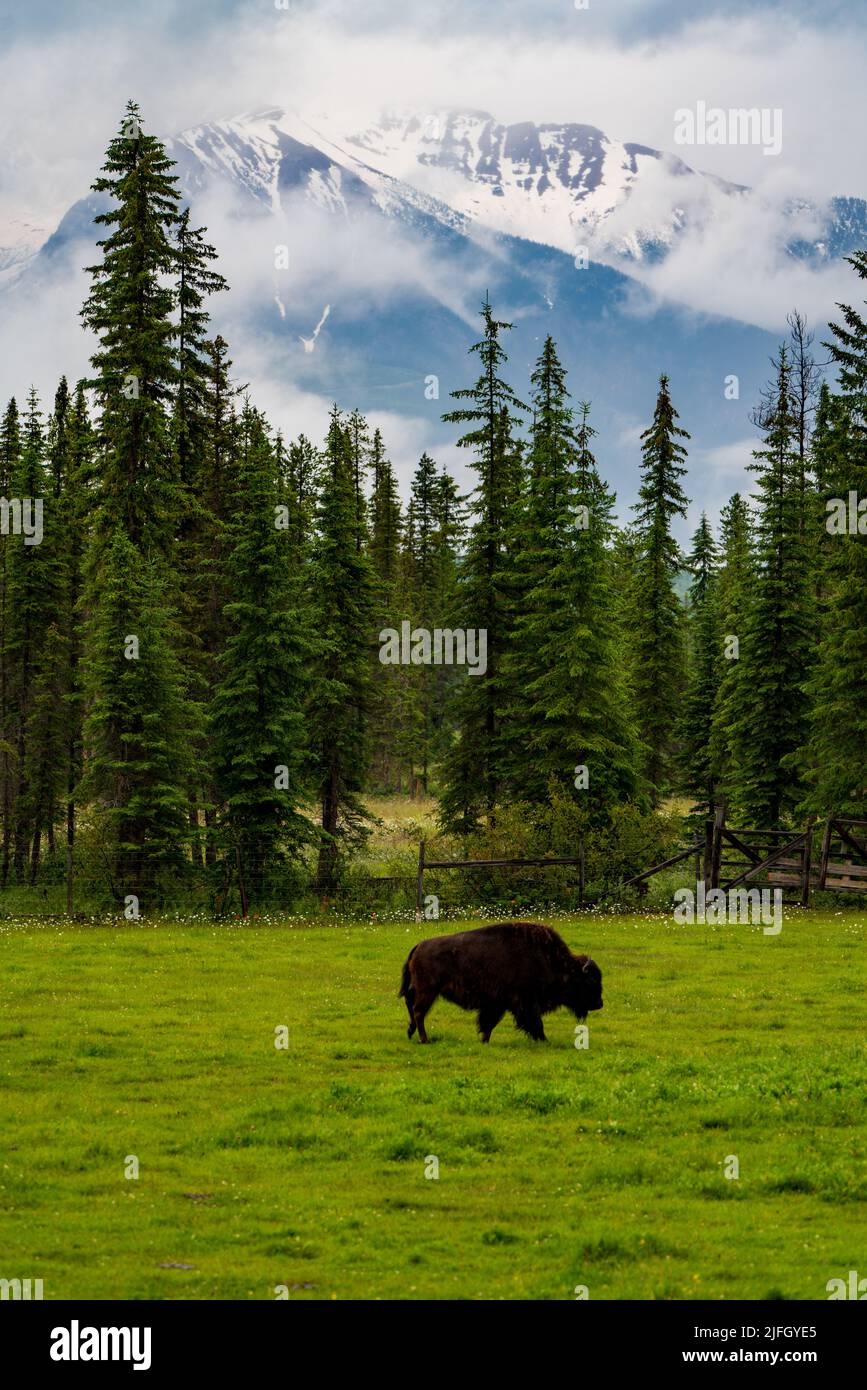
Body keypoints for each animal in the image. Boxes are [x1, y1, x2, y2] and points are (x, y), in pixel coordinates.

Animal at [399, 921, 603, 1043]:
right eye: (590, 981)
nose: (599, 1003)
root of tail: (419, 946)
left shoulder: (496, 1004)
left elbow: (488, 1023)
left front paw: (484, 1040)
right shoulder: (525, 1003)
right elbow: (535, 1023)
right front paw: (544, 1040)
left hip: (422, 990)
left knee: (410, 1005)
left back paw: (411, 1032)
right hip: (428, 991)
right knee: (418, 1012)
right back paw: (424, 1039)